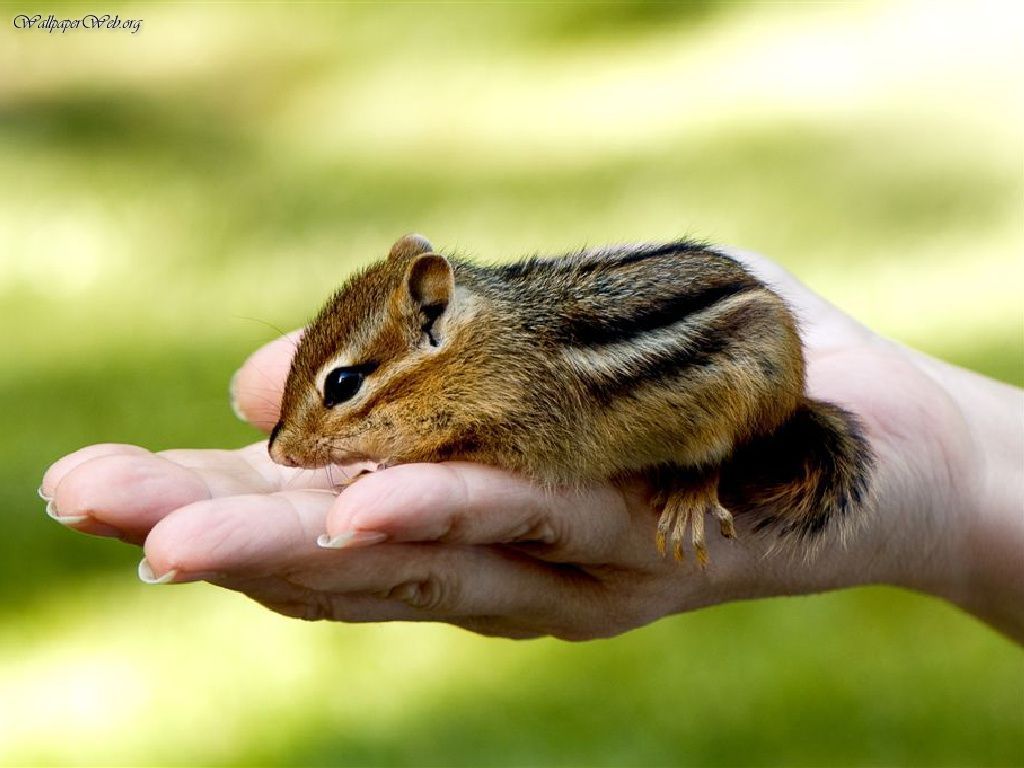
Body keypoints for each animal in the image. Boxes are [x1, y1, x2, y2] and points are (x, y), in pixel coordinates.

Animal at [269, 234, 873, 563]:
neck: (484, 347)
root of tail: (793, 400)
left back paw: (690, 496)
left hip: (739, 404)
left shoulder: (519, 423)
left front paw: (379, 467)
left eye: (342, 384)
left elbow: (451, 447)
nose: (277, 450)